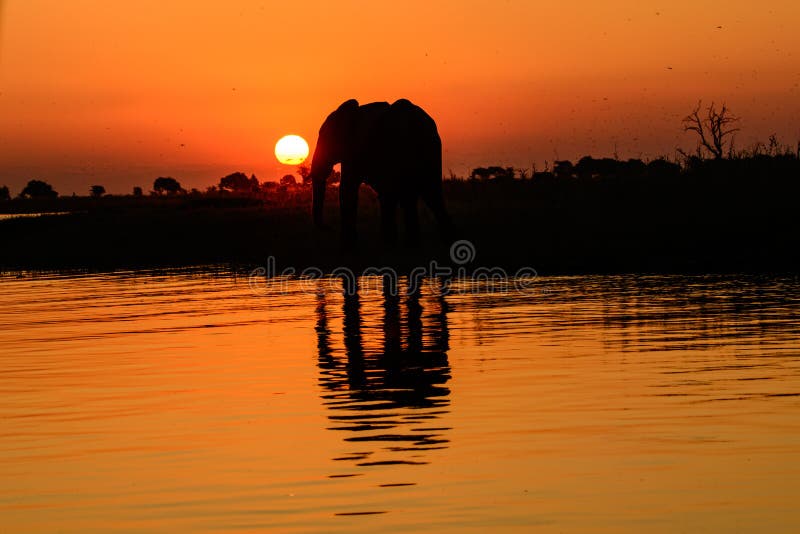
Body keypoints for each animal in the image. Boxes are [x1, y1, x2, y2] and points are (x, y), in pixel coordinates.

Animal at [309, 98, 451, 247]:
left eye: (325, 138)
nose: (329, 227)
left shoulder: (354, 151)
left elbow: (347, 190)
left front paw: (349, 243)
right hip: (429, 154)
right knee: (426, 196)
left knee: (401, 197)